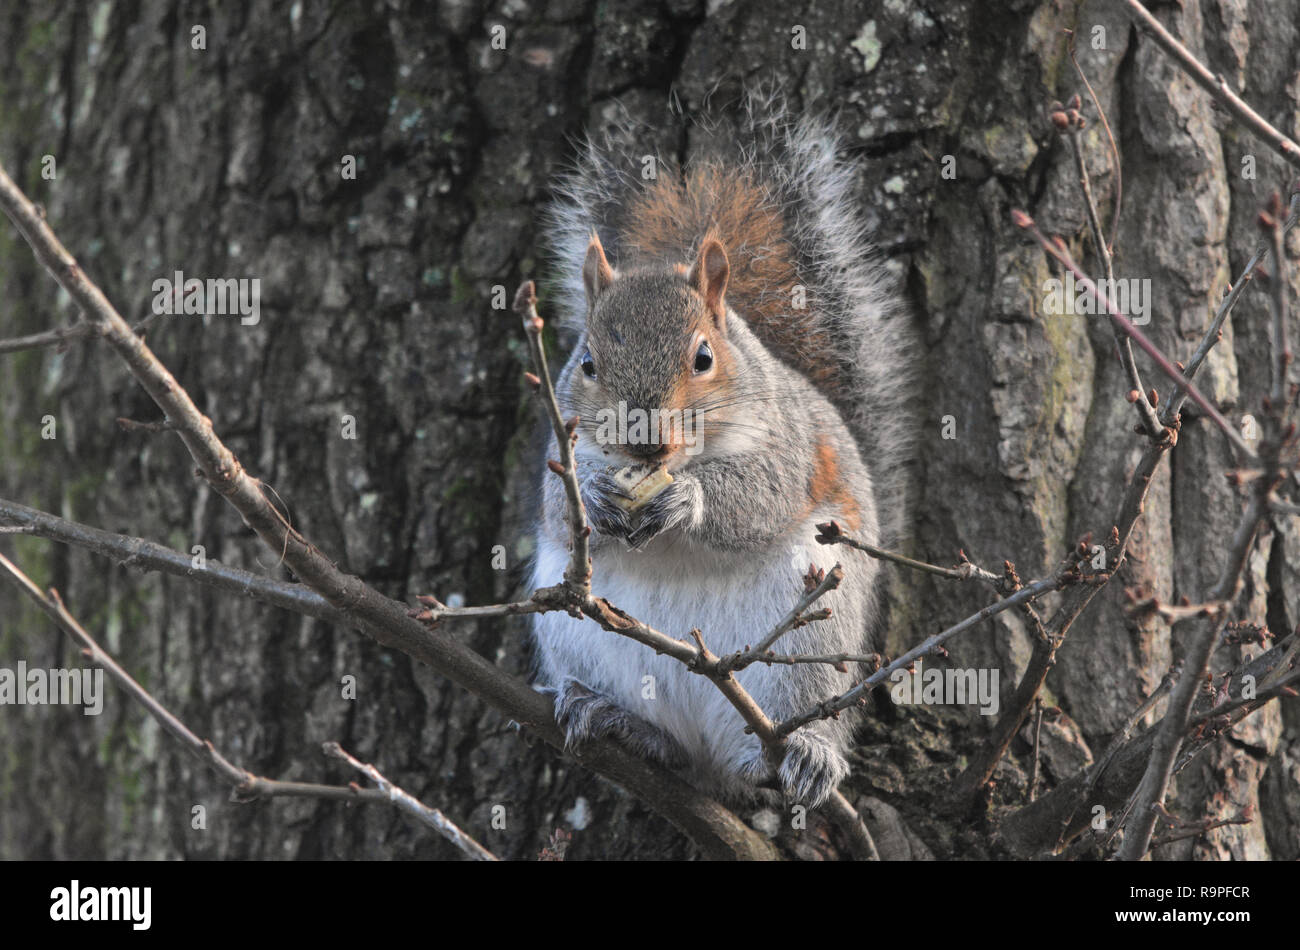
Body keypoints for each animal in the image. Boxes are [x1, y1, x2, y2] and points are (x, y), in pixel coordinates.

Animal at [529, 92, 914, 808]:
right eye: (587, 363)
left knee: (786, 731)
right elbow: (560, 506)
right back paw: (620, 720)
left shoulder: (788, 445)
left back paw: (804, 753)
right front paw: (595, 496)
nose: (642, 438)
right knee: (676, 752)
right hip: (576, 633)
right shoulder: (559, 451)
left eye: (704, 358)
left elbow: (758, 498)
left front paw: (687, 500)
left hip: (811, 640)